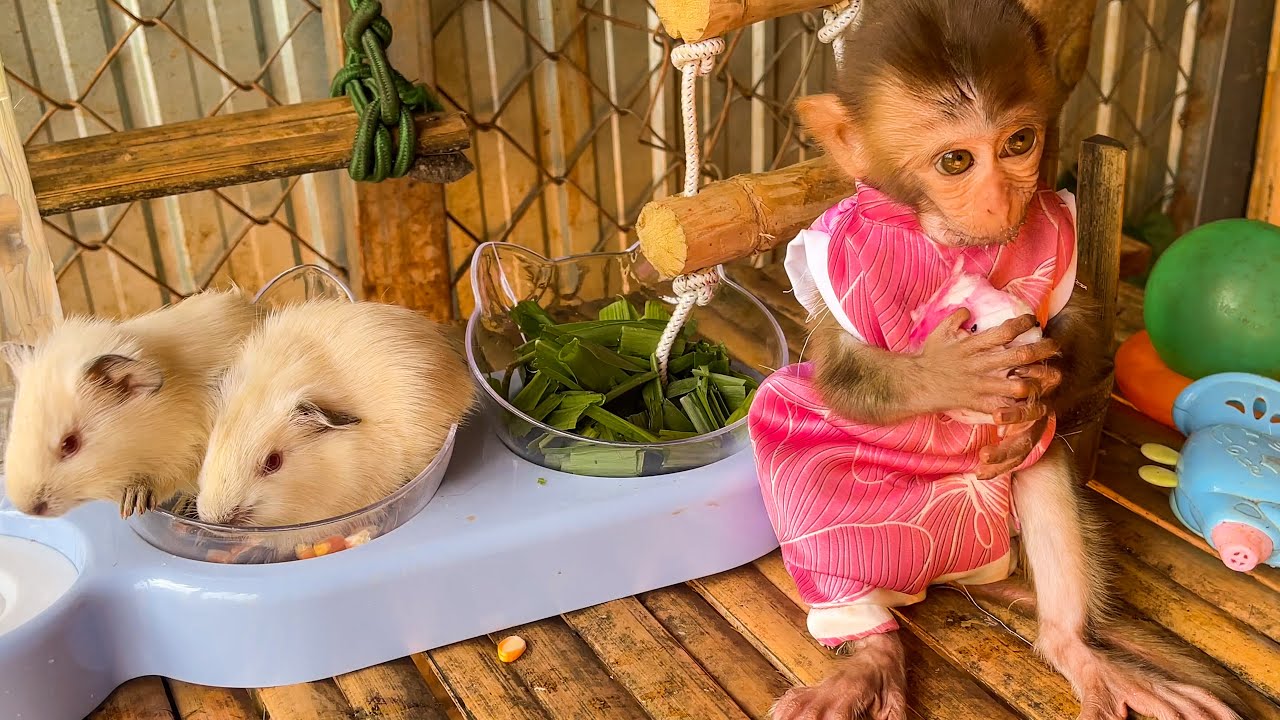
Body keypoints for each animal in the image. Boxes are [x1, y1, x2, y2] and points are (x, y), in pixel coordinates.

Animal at [744, 1, 1240, 719]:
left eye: (1019, 143)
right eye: (956, 160)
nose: (1001, 200)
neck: (946, 240)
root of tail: (945, 579)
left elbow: (1079, 331)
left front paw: (1044, 381)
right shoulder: (836, 258)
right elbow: (839, 374)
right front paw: (947, 374)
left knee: (1042, 467)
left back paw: (1076, 649)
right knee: (787, 433)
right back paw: (869, 651)